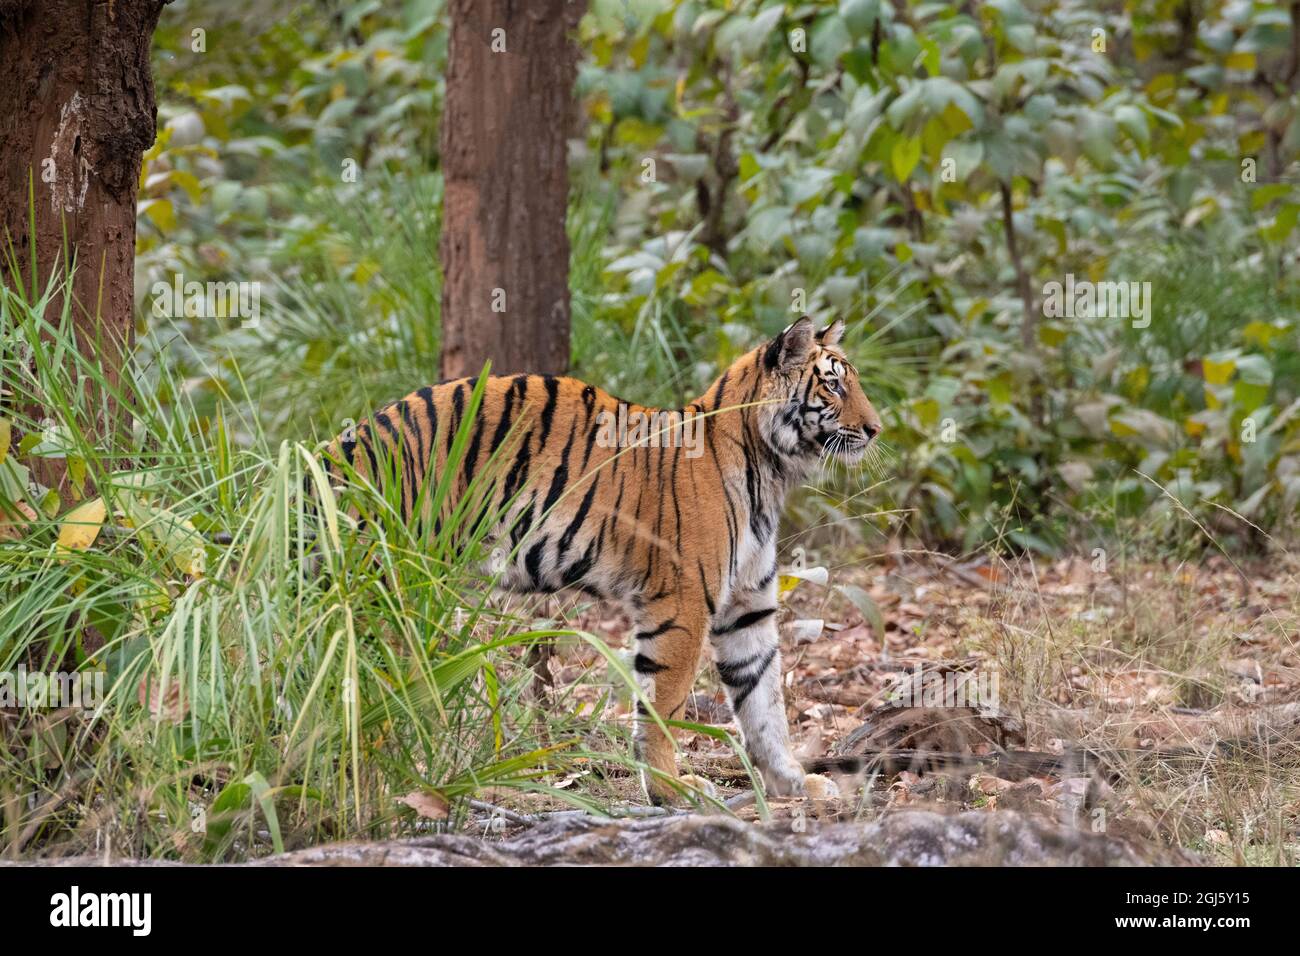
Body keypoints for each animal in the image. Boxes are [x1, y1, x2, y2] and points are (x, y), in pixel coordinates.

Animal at [321, 316, 884, 803]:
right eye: (834, 387)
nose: (877, 429)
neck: (770, 470)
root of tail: (341, 445)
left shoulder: (748, 607)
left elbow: (765, 701)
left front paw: (795, 782)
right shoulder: (683, 602)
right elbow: (665, 703)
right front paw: (670, 788)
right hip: (388, 587)